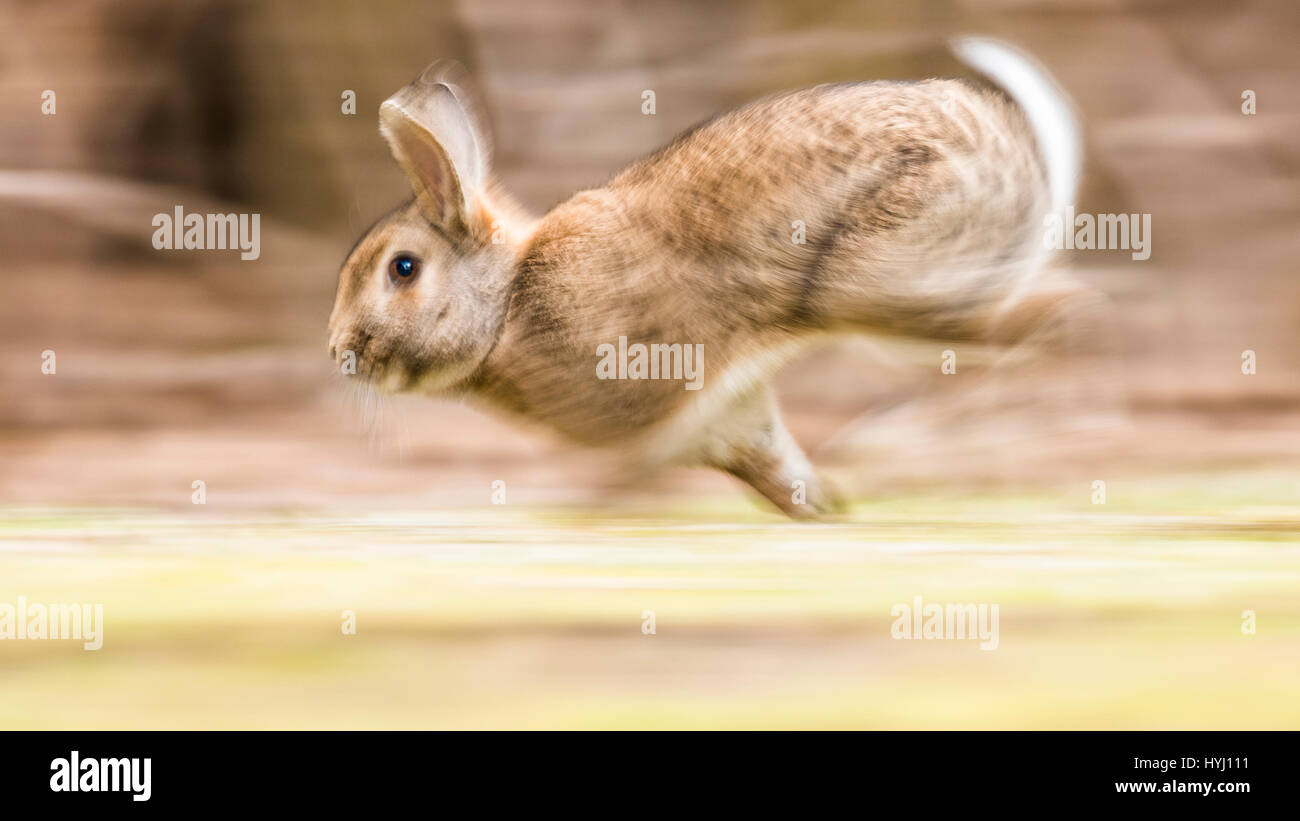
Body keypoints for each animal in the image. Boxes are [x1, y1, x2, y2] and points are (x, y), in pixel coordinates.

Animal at [327, 38, 1095, 518]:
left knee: (1049, 319)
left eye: (403, 268)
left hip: (884, 282)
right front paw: (828, 505)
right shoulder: (734, 423)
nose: (338, 350)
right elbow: (783, 477)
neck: (509, 303)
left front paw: (591, 512)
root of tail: (1021, 161)